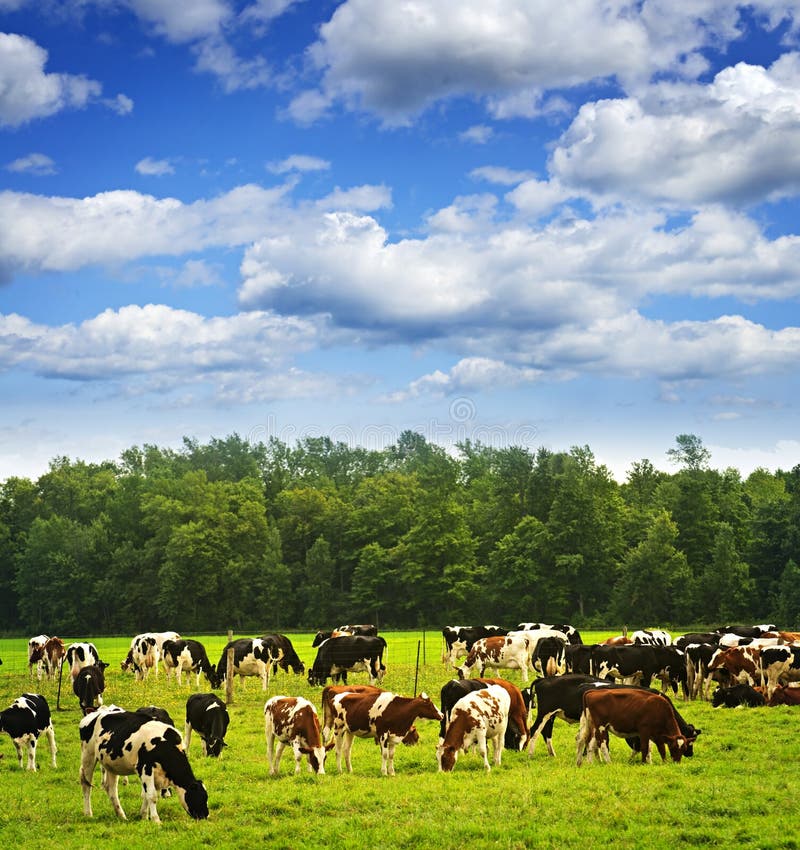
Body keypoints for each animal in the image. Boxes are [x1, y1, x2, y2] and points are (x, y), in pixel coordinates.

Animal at [80, 706, 208, 823]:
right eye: (200, 797)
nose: (205, 816)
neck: (164, 744)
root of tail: (95, 713)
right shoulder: (145, 767)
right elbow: (152, 795)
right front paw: (156, 820)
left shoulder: (157, 774)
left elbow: (147, 795)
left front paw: (144, 816)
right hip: (88, 755)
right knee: (86, 785)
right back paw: (88, 814)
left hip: (111, 763)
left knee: (111, 789)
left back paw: (121, 816)